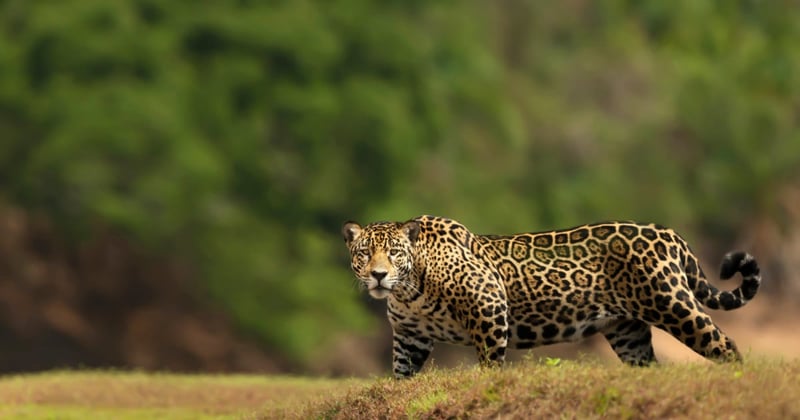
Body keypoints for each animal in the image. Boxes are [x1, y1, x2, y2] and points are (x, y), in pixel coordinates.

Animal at [342, 215, 761, 378]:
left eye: (394, 253)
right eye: (364, 254)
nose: (379, 275)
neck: (409, 289)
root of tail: (669, 233)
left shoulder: (488, 307)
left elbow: (489, 364)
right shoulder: (410, 337)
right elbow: (401, 375)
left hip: (671, 304)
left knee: (723, 344)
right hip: (627, 330)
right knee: (648, 364)